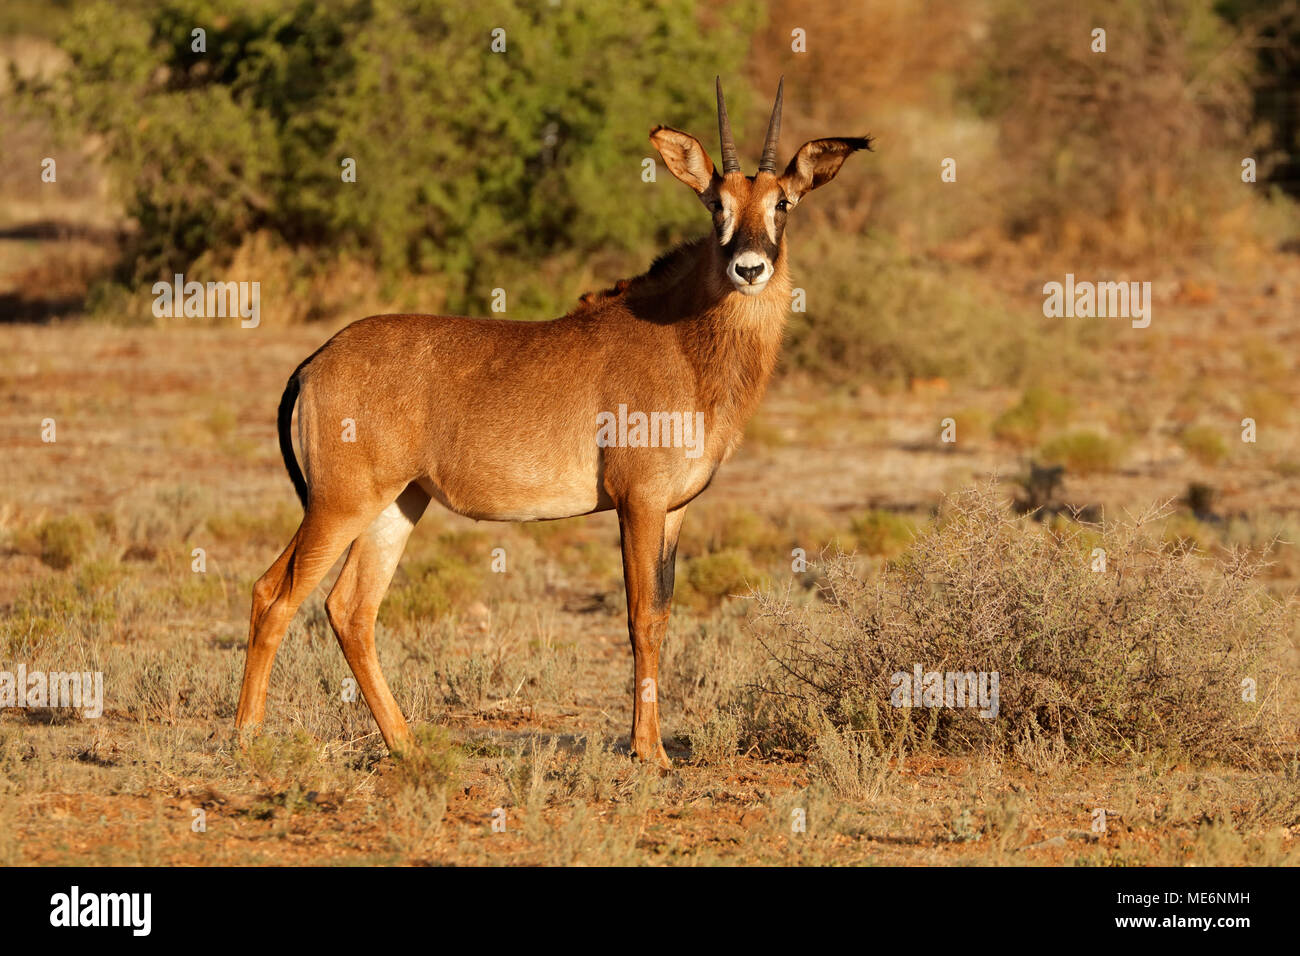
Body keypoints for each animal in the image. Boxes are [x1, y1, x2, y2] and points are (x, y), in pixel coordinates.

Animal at [234, 78, 871, 768]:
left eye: (783, 203)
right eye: (715, 205)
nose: (749, 268)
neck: (684, 341)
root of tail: (315, 361)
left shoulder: (674, 509)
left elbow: (663, 613)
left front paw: (650, 745)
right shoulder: (639, 502)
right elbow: (640, 617)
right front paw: (649, 751)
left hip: (395, 505)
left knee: (350, 608)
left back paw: (407, 746)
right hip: (340, 502)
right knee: (275, 593)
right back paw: (247, 739)